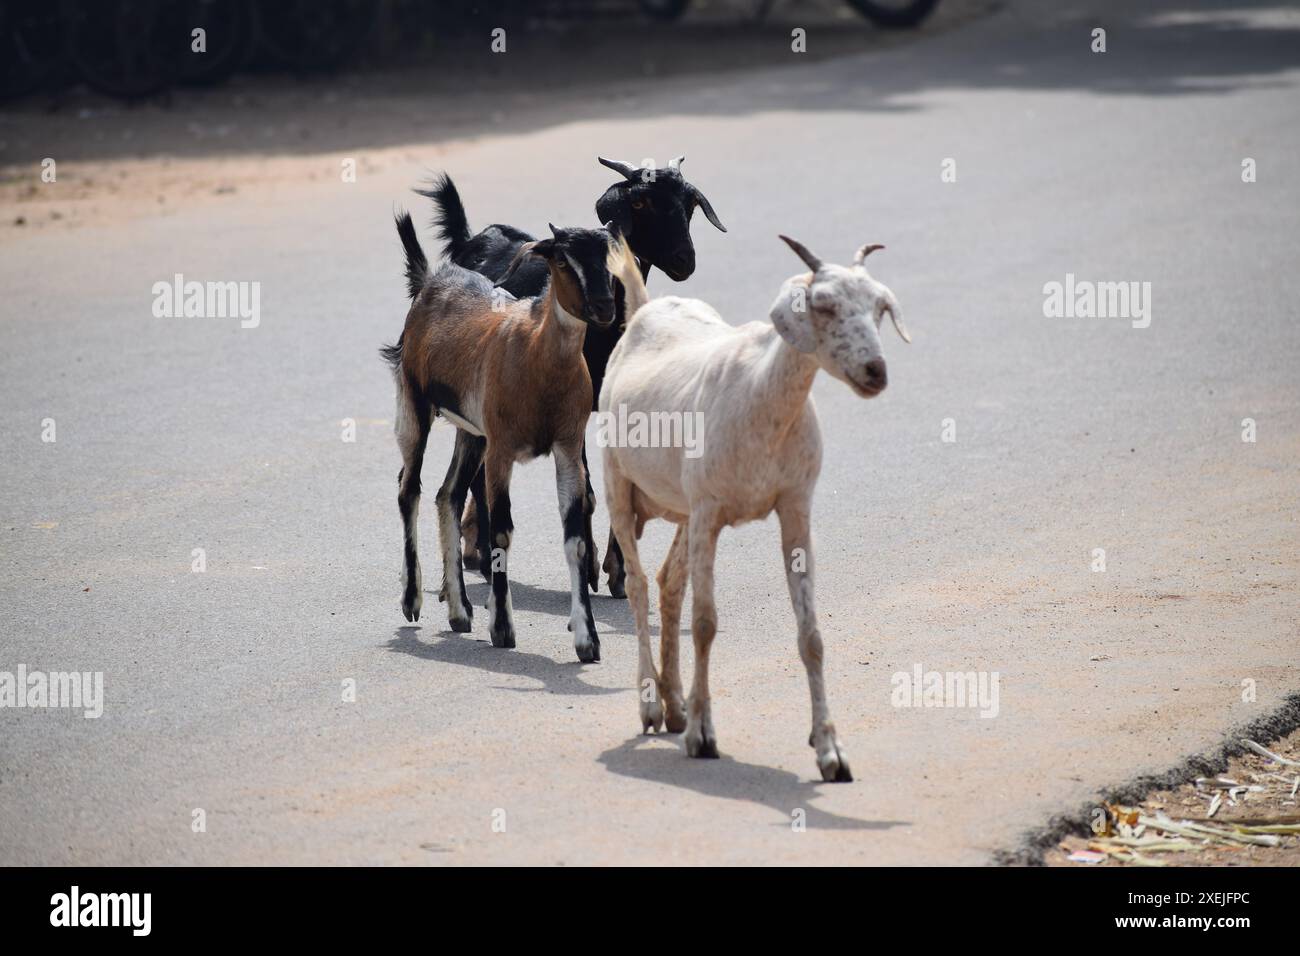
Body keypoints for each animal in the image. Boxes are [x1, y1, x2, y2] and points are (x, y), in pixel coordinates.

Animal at [383, 211, 642, 663]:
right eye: (562, 259)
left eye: (611, 256)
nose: (603, 307)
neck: (535, 356)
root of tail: (430, 280)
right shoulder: (503, 450)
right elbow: (501, 530)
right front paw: (503, 628)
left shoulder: (566, 447)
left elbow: (575, 537)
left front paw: (587, 639)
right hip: (414, 405)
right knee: (408, 488)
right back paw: (413, 599)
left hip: (472, 433)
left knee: (447, 494)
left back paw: (460, 612)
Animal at [418, 156, 726, 598]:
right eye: (641, 203)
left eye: (689, 205)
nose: (684, 259)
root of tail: (470, 240)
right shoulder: (572, 408)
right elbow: (588, 493)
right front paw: (592, 566)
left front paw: (618, 571)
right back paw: (483, 552)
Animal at [598, 235, 910, 780]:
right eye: (823, 303)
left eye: (879, 307)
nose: (875, 371)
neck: (759, 398)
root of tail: (642, 309)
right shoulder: (708, 510)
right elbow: (705, 623)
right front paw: (703, 735)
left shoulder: (795, 508)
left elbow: (811, 635)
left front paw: (830, 750)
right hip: (619, 482)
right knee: (638, 586)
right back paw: (652, 705)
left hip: (682, 508)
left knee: (668, 582)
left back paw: (675, 705)